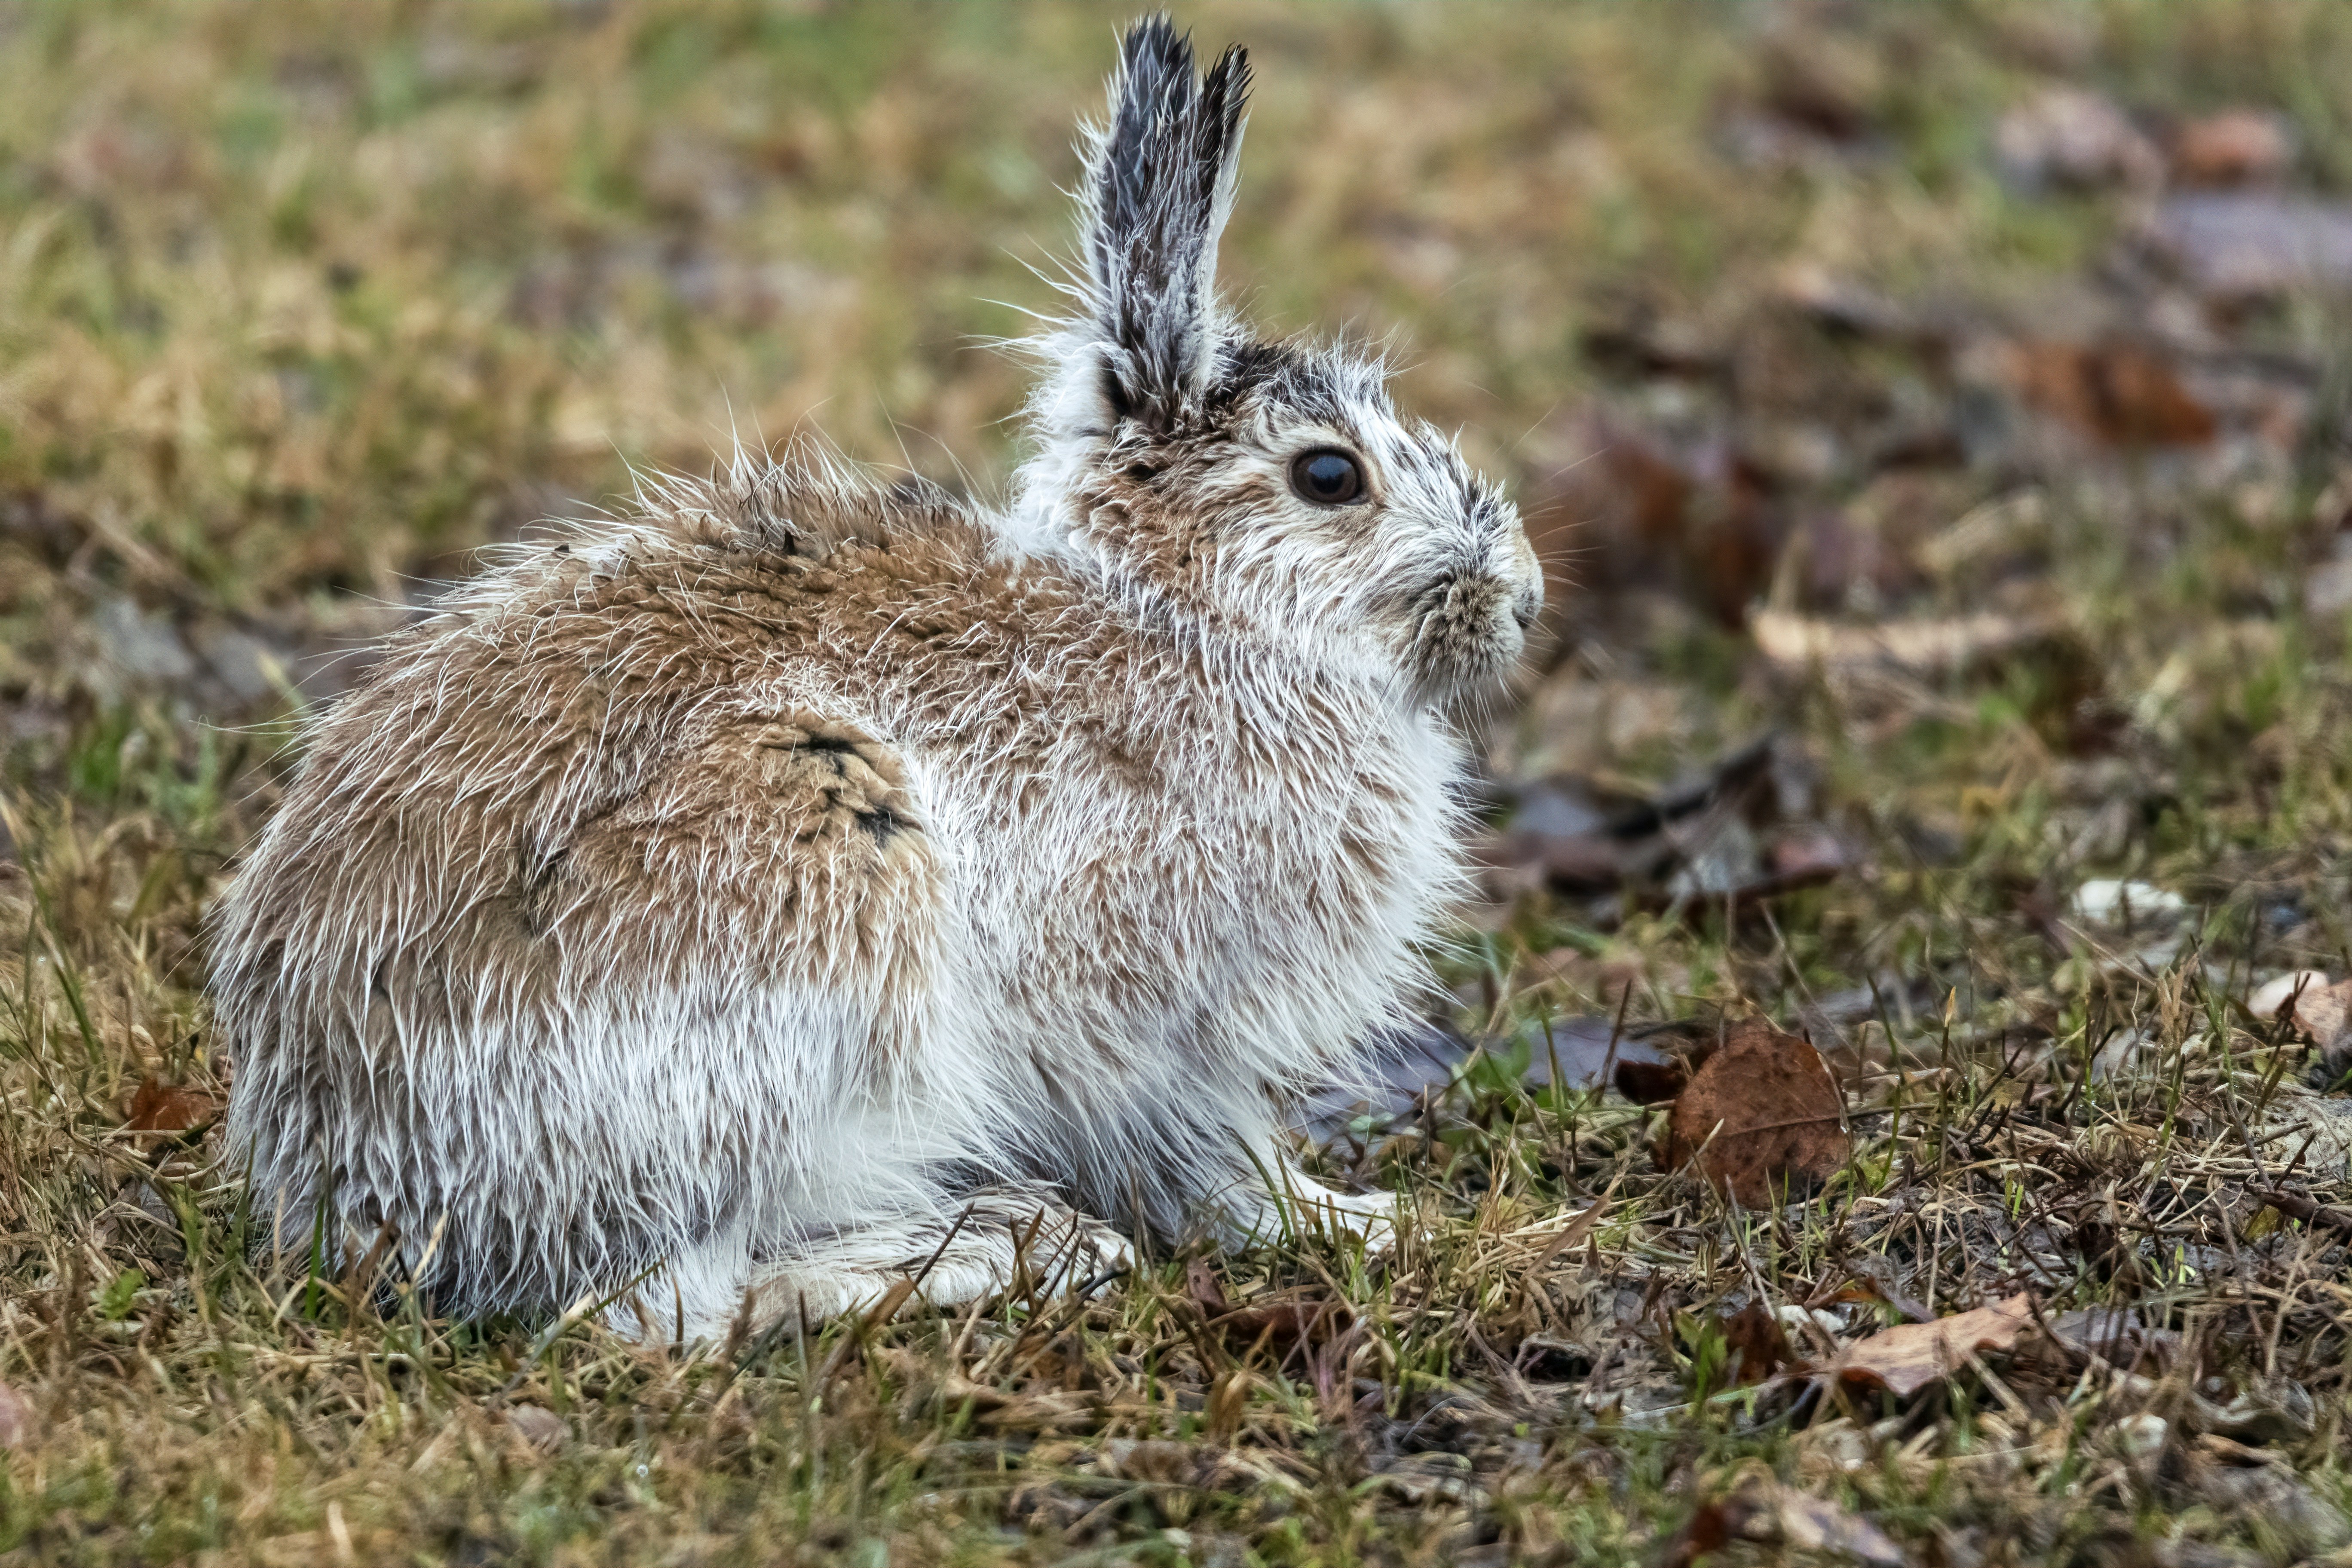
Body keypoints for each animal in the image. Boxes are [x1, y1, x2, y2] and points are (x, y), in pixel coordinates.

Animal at [206, 14, 1543, 1342]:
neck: (1191, 616)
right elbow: (1209, 1163)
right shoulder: (1156, 1025)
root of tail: (367, 1199)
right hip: (798, 907)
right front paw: (1355, 1223)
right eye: (1329, 477)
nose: (1524, 596)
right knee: (669, 1307)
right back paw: (998, 1251)